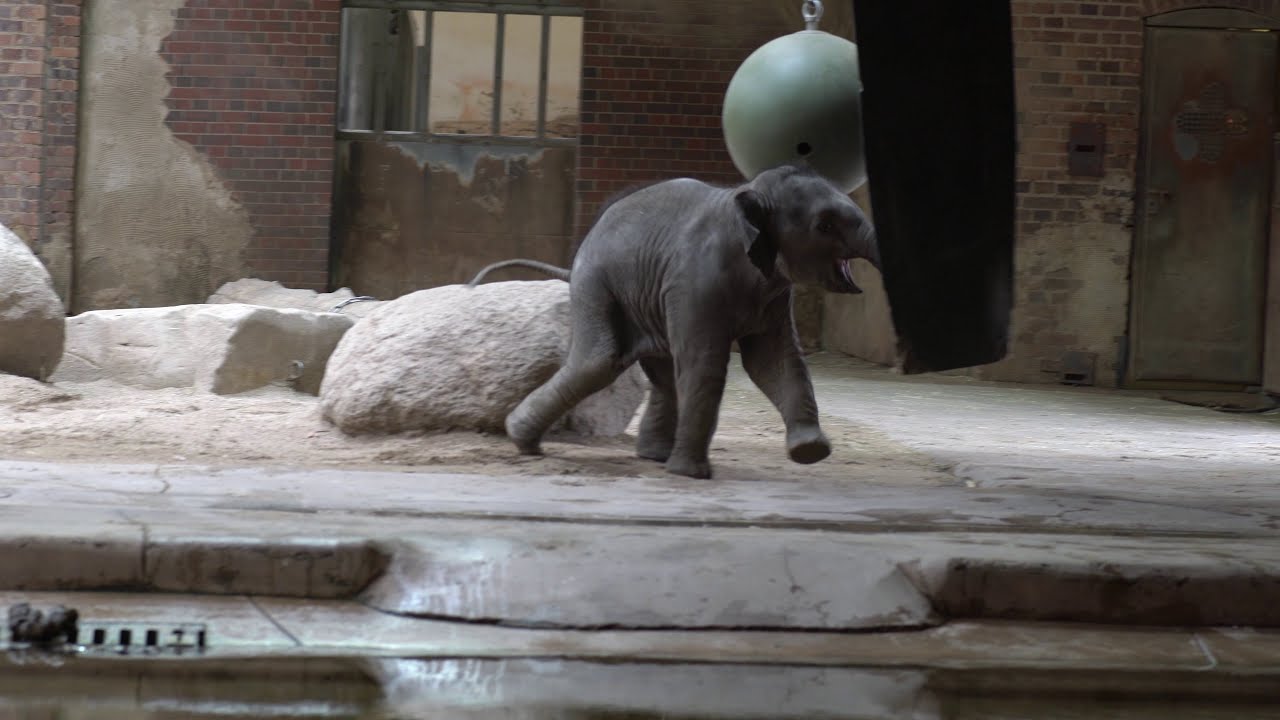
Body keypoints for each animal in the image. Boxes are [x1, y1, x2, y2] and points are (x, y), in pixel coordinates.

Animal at [470, 164, 880, 479]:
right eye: (825, 226)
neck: (745, 195)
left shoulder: (773, 292)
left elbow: (774, 361)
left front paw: (810, 451)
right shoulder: (695, 283)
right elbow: (706, 364)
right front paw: (692, 475)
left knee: (661, 371)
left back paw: (651, 456)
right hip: (599, 286)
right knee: (599, 362)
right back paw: (522, 439)